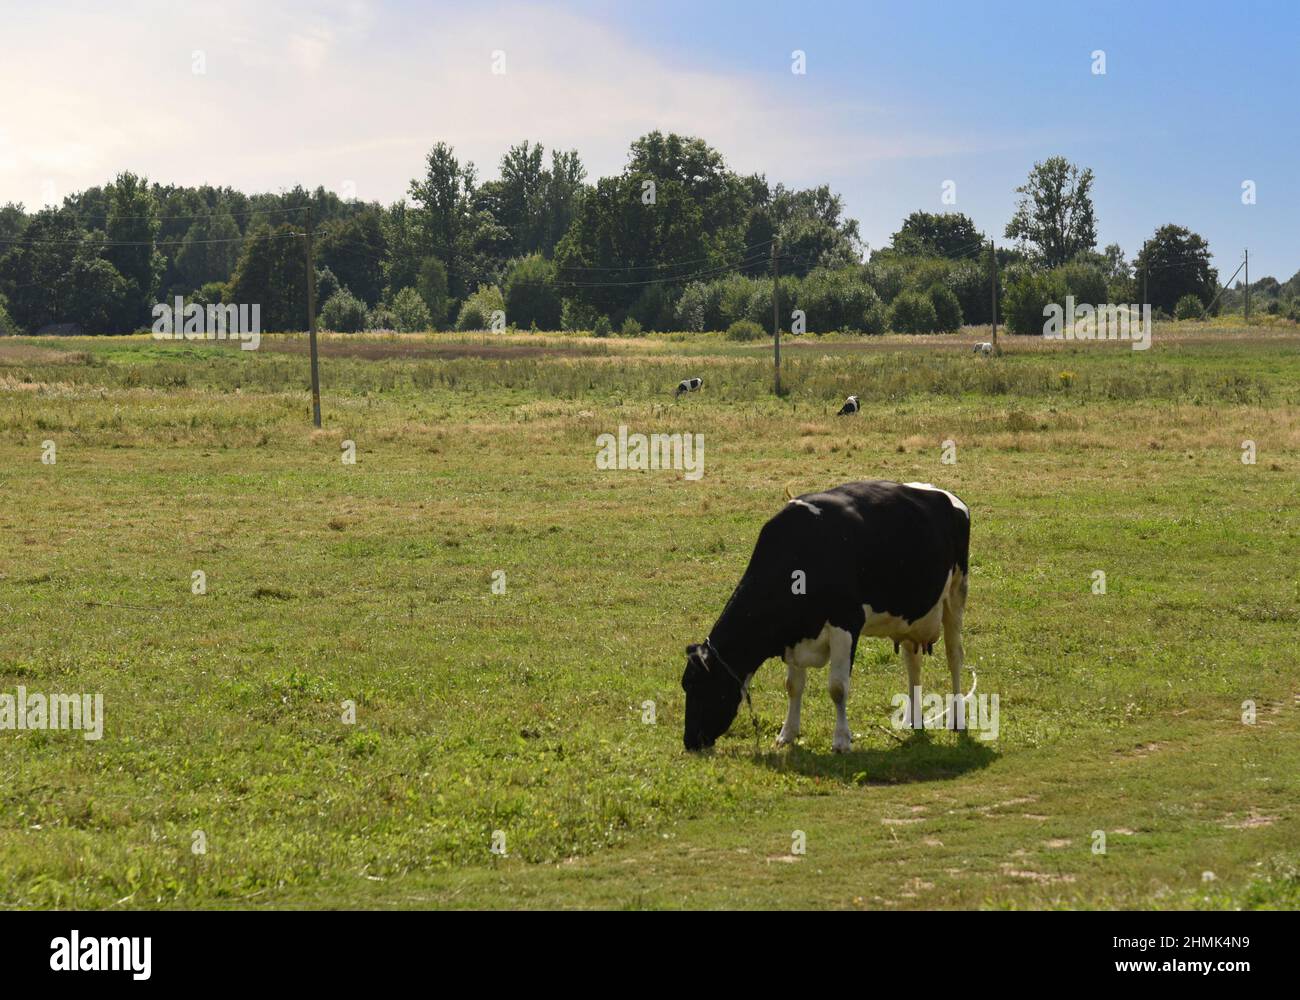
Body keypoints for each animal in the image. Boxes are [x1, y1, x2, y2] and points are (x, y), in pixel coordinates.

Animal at [681, 480, 970, 753]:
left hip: (956, 594)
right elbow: (793, 685)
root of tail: (944, 493)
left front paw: (841, 740)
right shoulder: (793, 635)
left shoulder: (846, 624)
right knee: (913, 663)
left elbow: (838, 688)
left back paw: (957, 719)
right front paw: (787, 734)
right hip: (910, 619)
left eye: (698, 686)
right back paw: (913, 719)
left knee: (954, 655)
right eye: (686, 685)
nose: (690, 741)